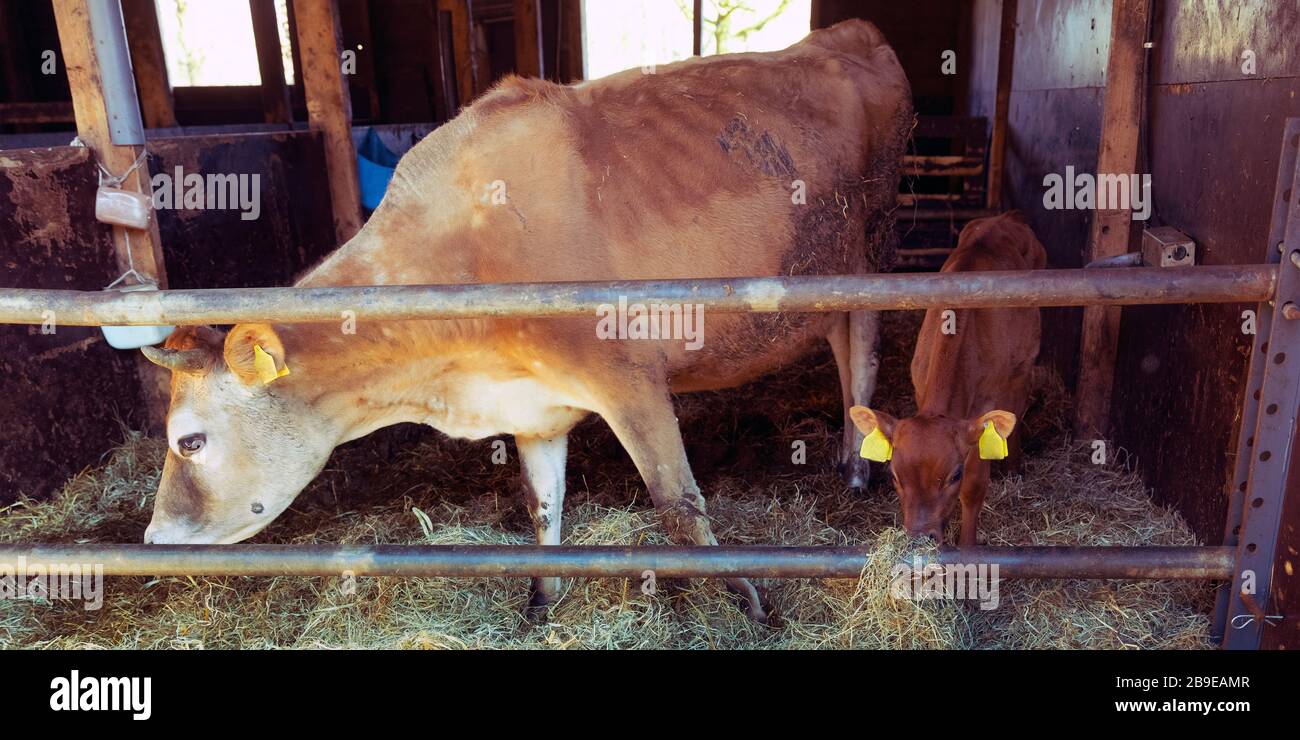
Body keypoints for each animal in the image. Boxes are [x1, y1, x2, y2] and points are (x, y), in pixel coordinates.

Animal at [138, 19, 913, 622]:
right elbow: (543, 508)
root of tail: (847, 33)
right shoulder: (534, 405)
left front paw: (749, 602)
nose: (151, 537)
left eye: (190, 441)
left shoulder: (628, 377)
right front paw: (542, 603)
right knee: (839, 340)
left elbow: (679, 505)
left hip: (869, 253)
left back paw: (856, 470)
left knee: (865, 349)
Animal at [849, 213, 1046, 546]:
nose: (920, 539)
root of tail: (1003, 217)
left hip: (1023, 367)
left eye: (955, 475)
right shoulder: (920, 385)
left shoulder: (985, 413)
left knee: (1018, 411)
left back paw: (1014, 467)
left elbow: (975, 485)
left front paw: (966, 545)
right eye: (894, 476)